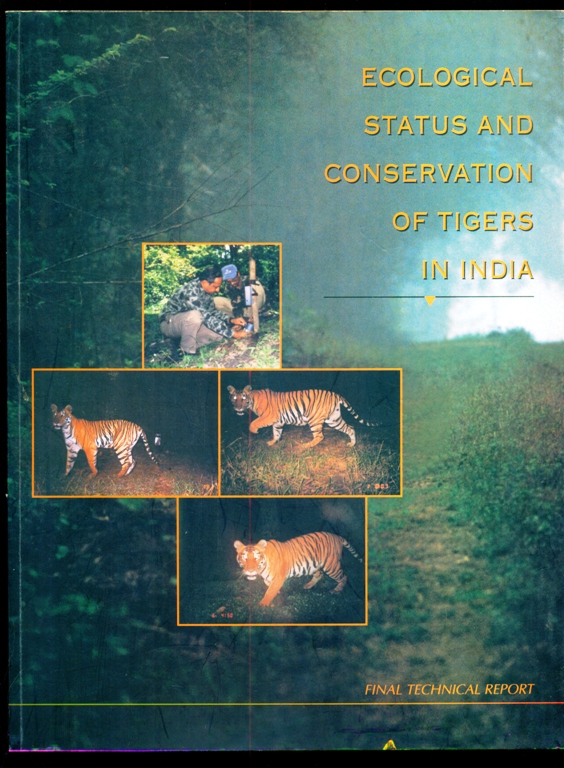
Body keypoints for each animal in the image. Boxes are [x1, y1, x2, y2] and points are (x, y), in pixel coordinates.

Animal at [226, 385, 377, 448]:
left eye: (243, 398)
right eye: (234, 398)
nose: (237, 408)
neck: (253, 400)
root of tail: (336, 394)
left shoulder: (269, 416)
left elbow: (254, 422)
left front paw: (254, 431)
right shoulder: (278, 421)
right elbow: (276, 432)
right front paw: (273, 442)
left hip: (315, 420)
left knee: (320, 436)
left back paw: (307, 445)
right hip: (333, 419)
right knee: (350, 427)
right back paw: (352, 444)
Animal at [234, 531, 362, 607]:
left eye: (256, 558)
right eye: (244, 558)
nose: (250, 570)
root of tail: (337, 536)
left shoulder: (279, 577)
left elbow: (270, 591)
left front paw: (262, 605)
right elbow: (267, 583)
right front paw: (276, 591)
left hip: (331, 566)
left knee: (344, 576)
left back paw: (336, 590)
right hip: (315, 565)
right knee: (319, 574)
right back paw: (308, 585)